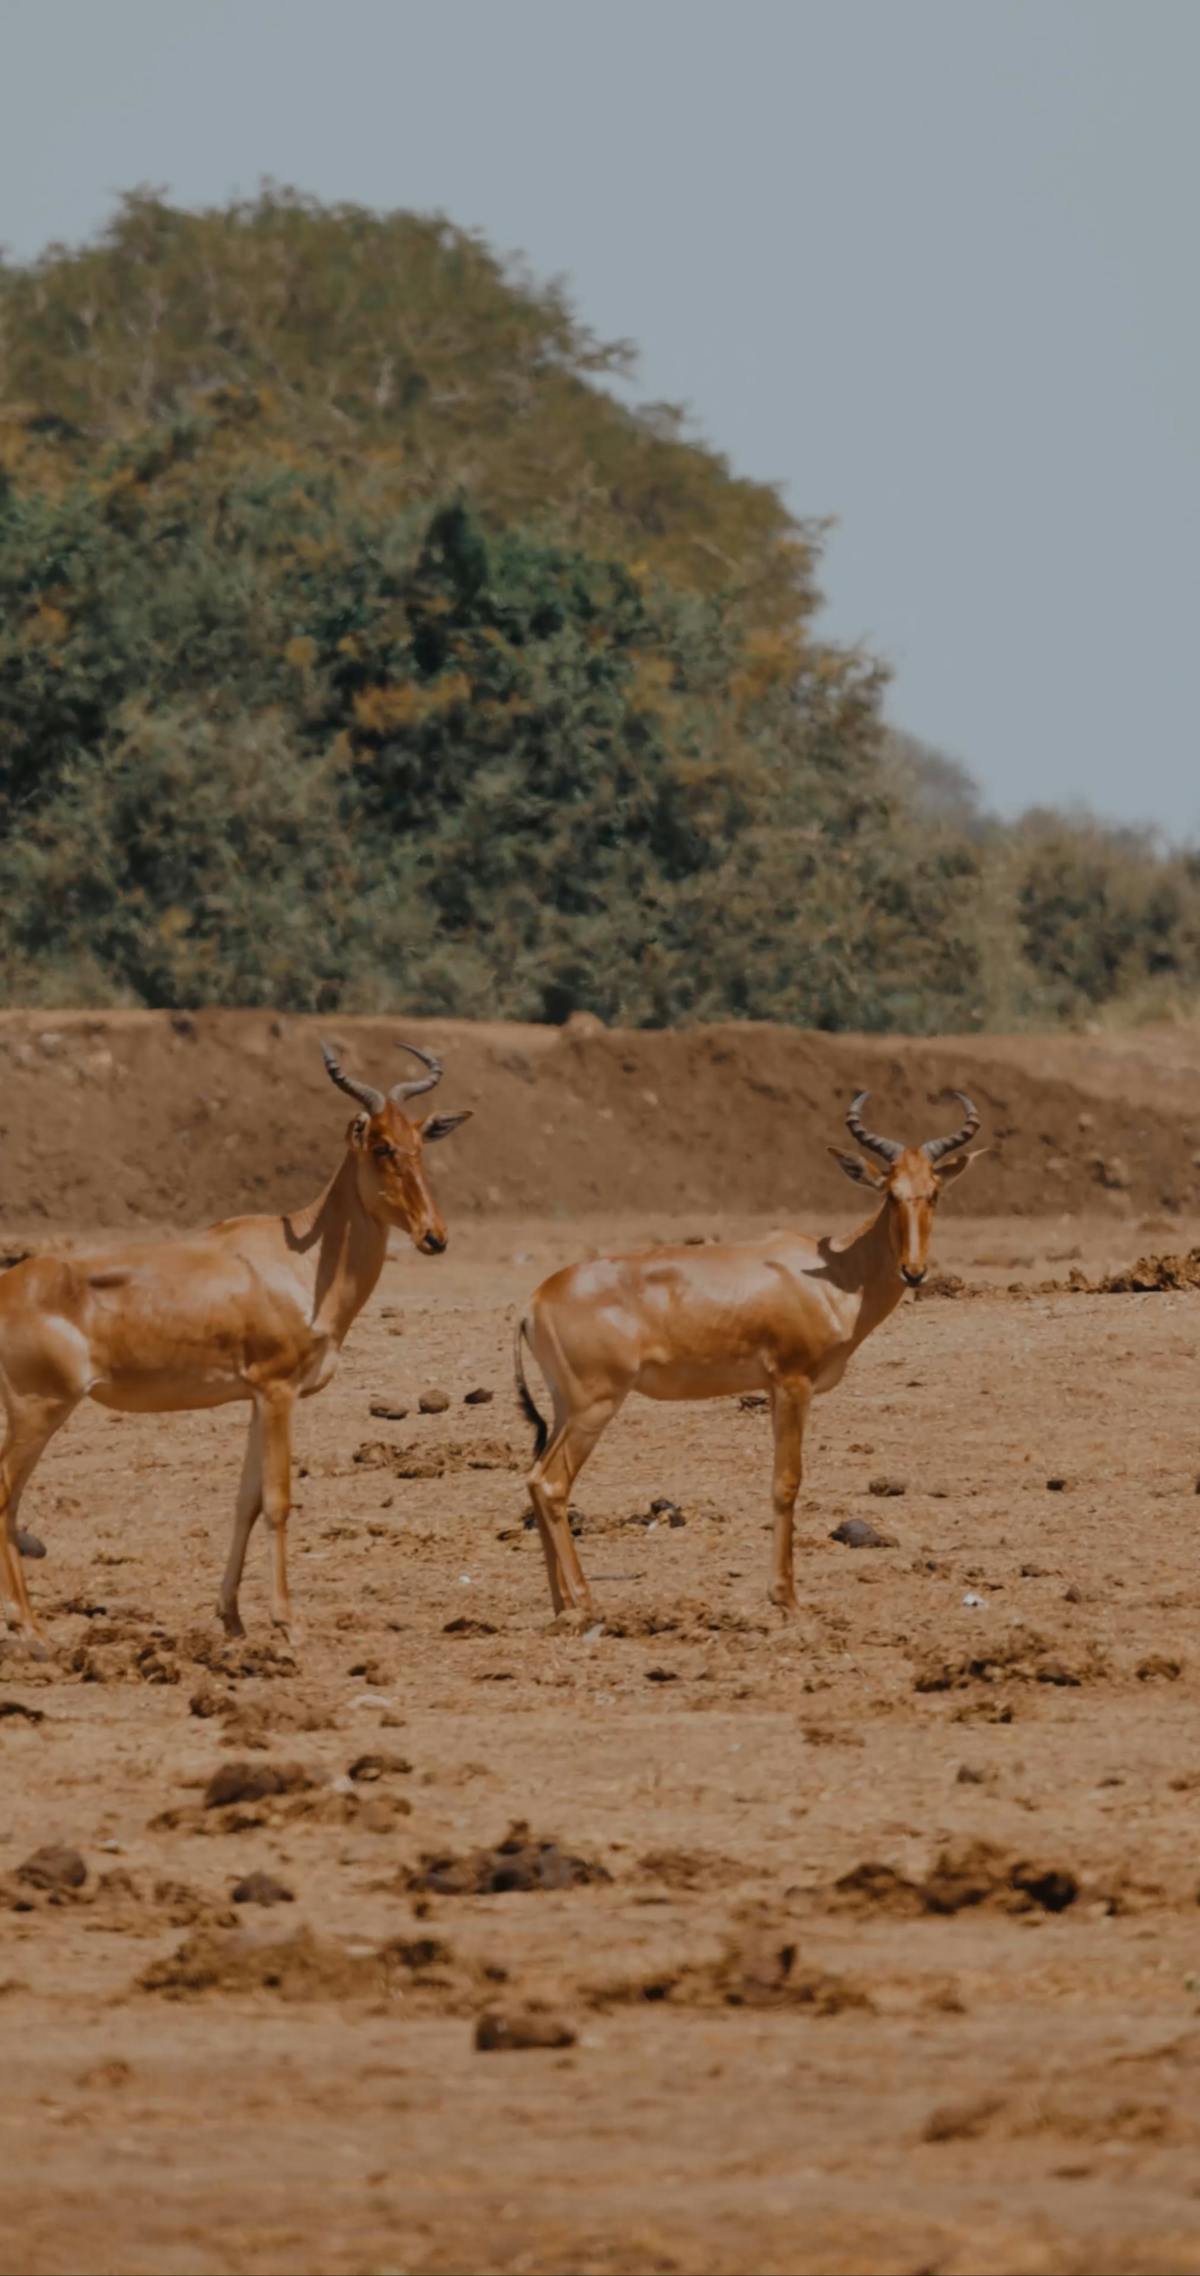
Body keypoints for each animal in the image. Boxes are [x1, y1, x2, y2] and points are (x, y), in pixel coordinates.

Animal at [0, 1040, 470, 1653]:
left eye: (419, 1142)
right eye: (381, 1145)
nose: (434, 1237)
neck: (299, 1260)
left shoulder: (254, 1398)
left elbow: (245, 1501)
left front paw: (233, 1618)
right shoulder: (278, 1391)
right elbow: (278, 1500)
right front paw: (288, 1622)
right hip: (39, 1409)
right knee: (5, 1495)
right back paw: (31, 1627)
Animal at [514, 1091, 983, 1622]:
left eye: (934, 1192)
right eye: (890, 1192)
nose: (914, 1271)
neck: (833, 1272)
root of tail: (535, 1300)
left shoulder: (773, 1388)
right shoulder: (793, 1383)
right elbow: (787, 1482)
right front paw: (788, 1598)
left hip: (564, 1406)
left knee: (534, 1479)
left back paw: (560, 1605)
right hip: (595, 1406)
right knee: (552, 1483)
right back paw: (587, 1603)